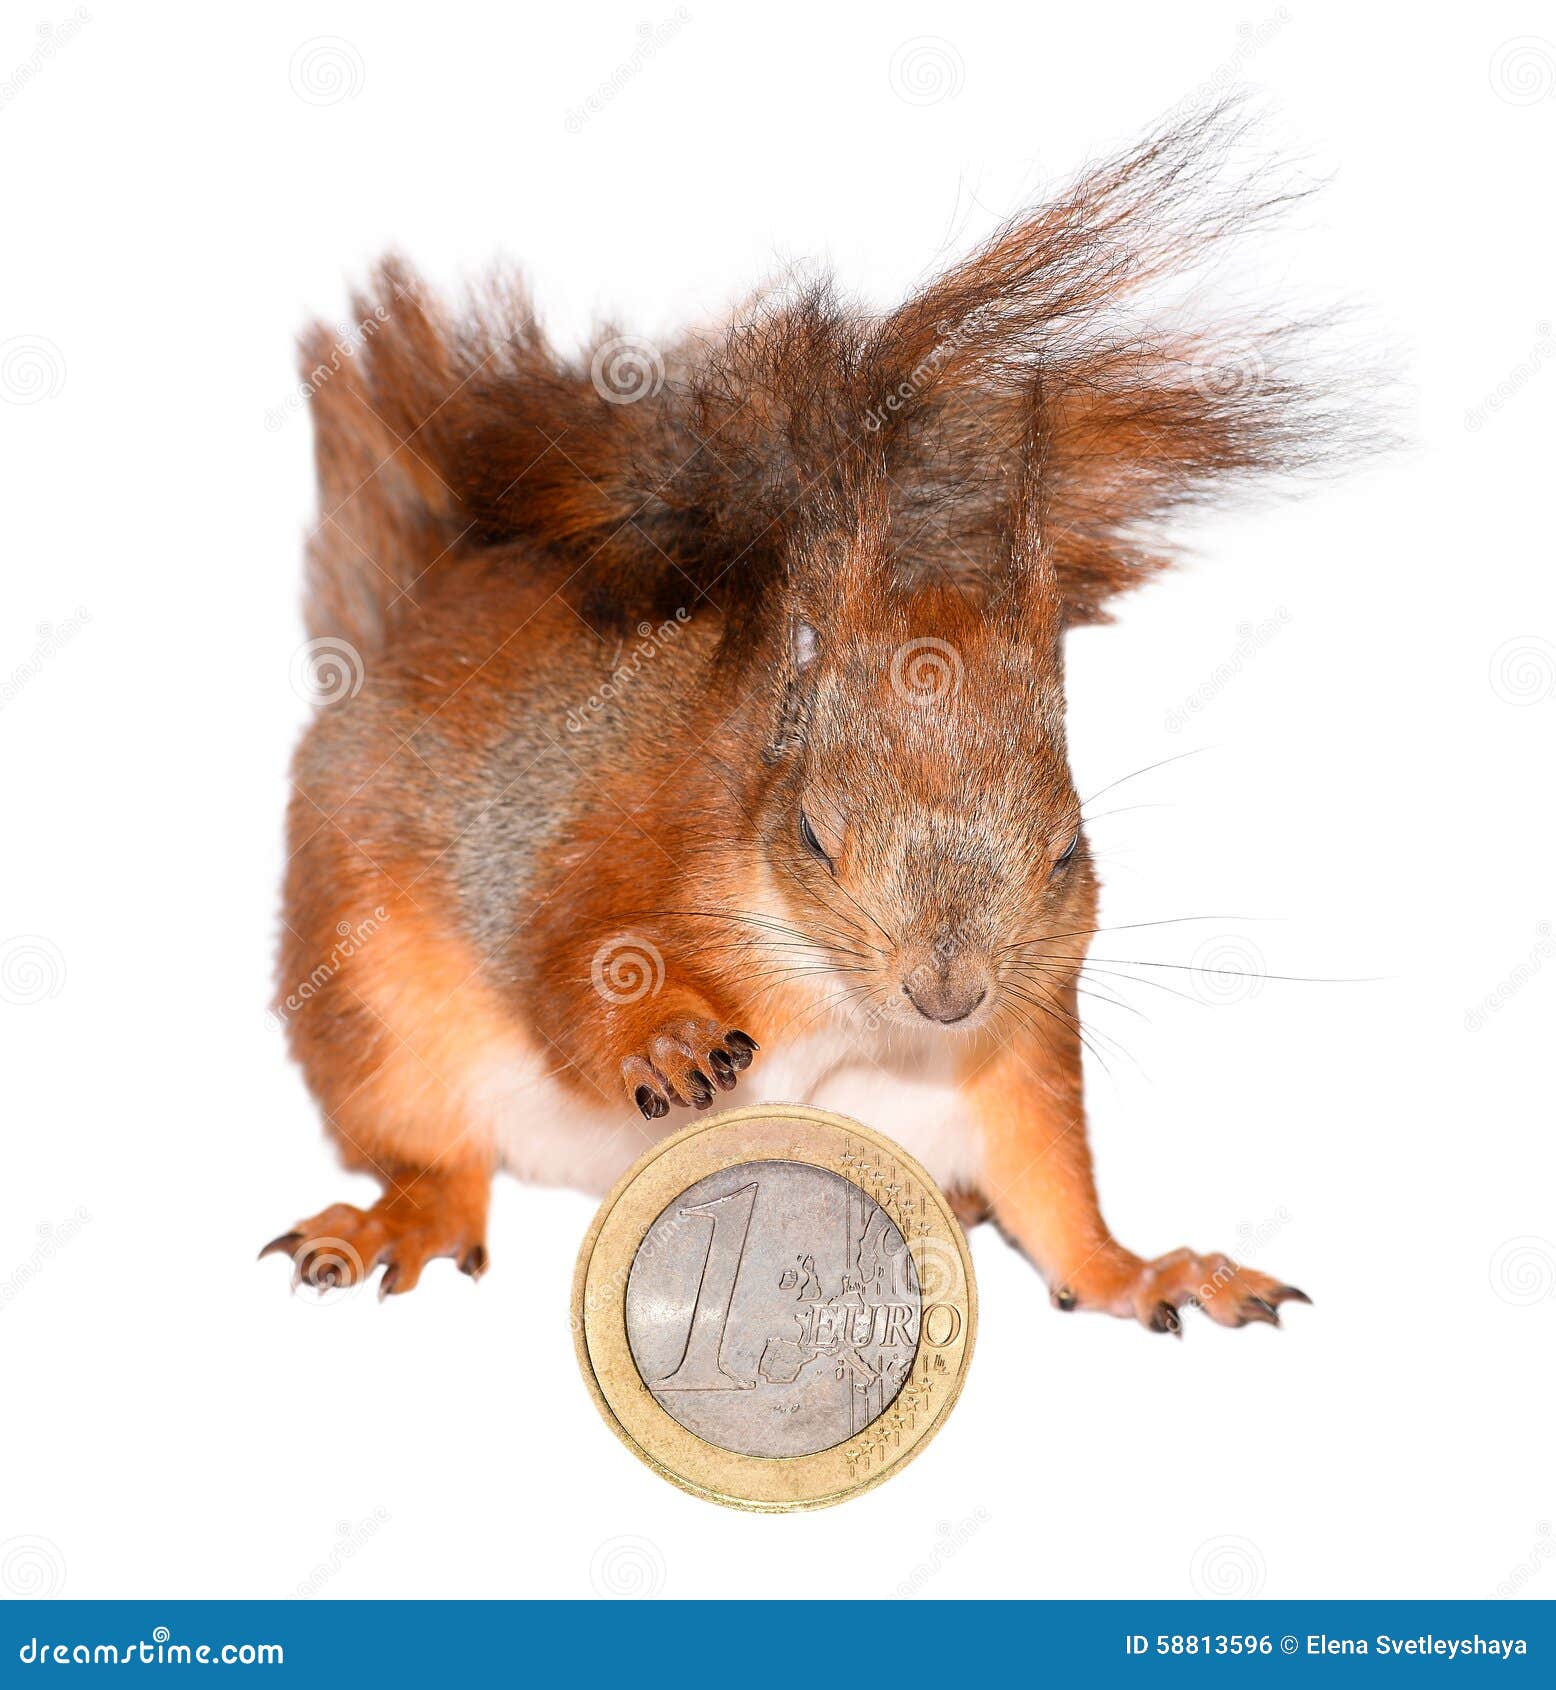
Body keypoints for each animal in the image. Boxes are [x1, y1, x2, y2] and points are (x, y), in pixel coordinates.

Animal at [264, 106, 1363, 1329]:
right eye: (810, 834)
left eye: (1067, 853)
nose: (947, 993)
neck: (835, 1000)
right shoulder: (606, 837)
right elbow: (572, 960)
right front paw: (671, 1041)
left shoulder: (1016, 1043)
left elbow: (1056, 1198)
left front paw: (1148, 1271)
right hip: (375, 1013)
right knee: (435, 1157)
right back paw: (397, 1219)